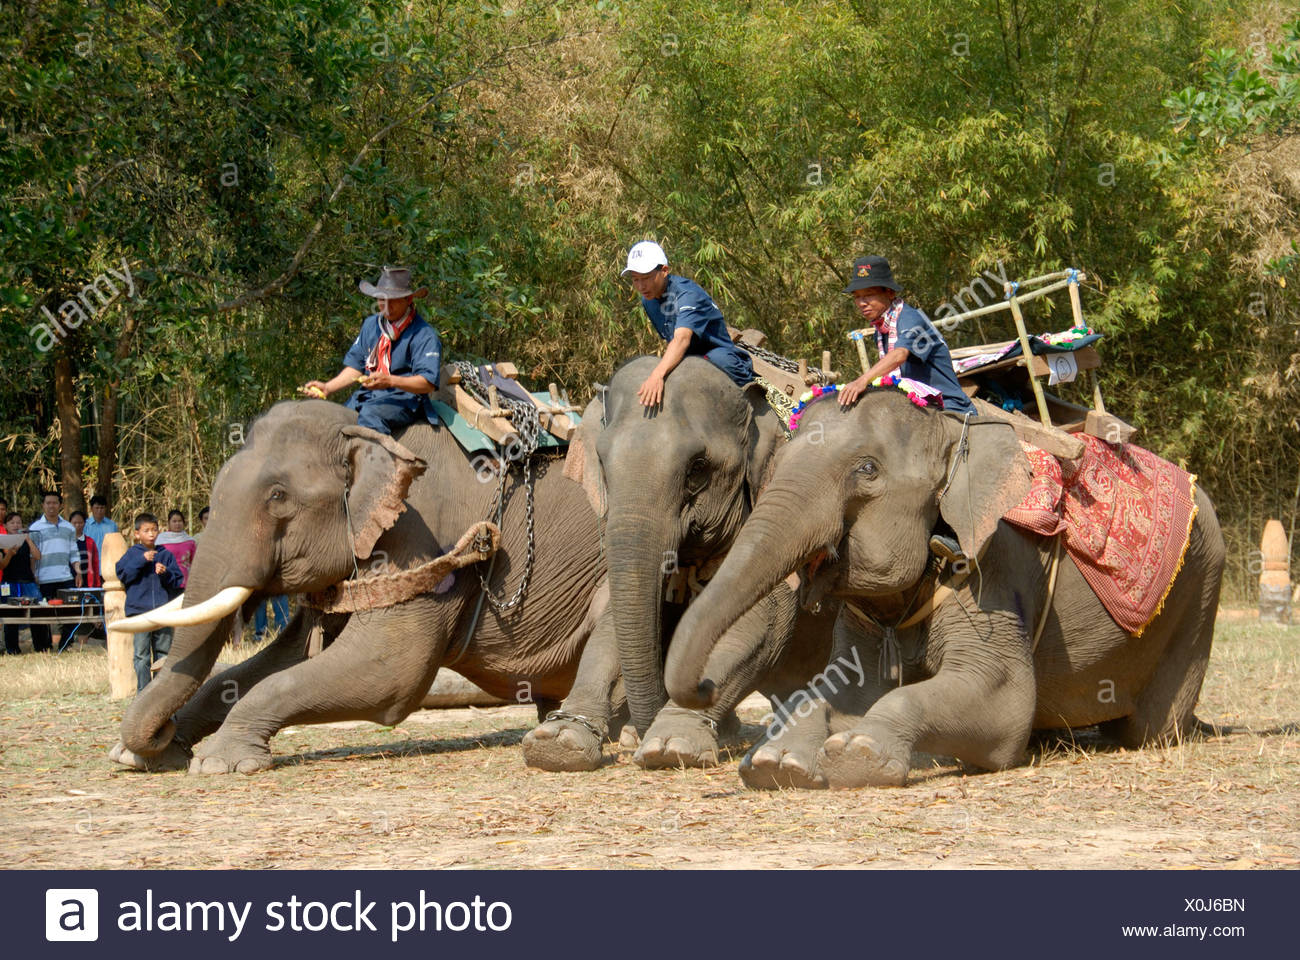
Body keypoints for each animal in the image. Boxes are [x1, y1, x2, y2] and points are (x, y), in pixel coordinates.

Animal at [109, 398, 609, 774]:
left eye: (278, 496)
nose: (163, 733)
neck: (364, 432)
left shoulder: (417, 537)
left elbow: (390, 672)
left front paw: (218, 763)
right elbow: (280, 660)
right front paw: (134, 757)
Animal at [522, 355, 835, 771]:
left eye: (698, 467)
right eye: (602, 462)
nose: (638, 732)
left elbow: (758, 624)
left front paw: (670, 744)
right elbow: (613, 623)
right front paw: (557, 741)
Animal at [664, 386, 1225, 789]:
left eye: (866, 469)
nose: (706, 685)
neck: (952, 429)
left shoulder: (992, 573)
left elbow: (1003, 702)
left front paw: (858, 755)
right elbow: (842, 689)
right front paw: (776, 764)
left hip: (1199, 596)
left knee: (1148, 727)